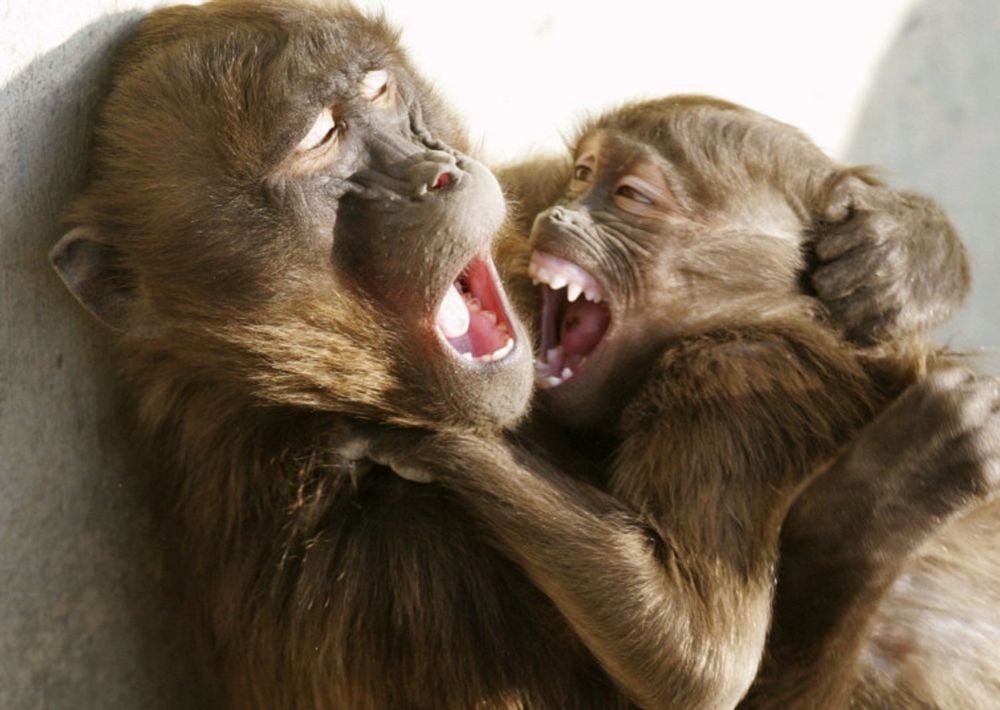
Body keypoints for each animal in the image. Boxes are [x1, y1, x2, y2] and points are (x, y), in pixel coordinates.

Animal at [48, 2, 998, 708]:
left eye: (383, 93)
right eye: (321, 138)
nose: (438, 168)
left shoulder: (727, 373)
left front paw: (897, 254)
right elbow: (693, 660)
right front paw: (885, 499)